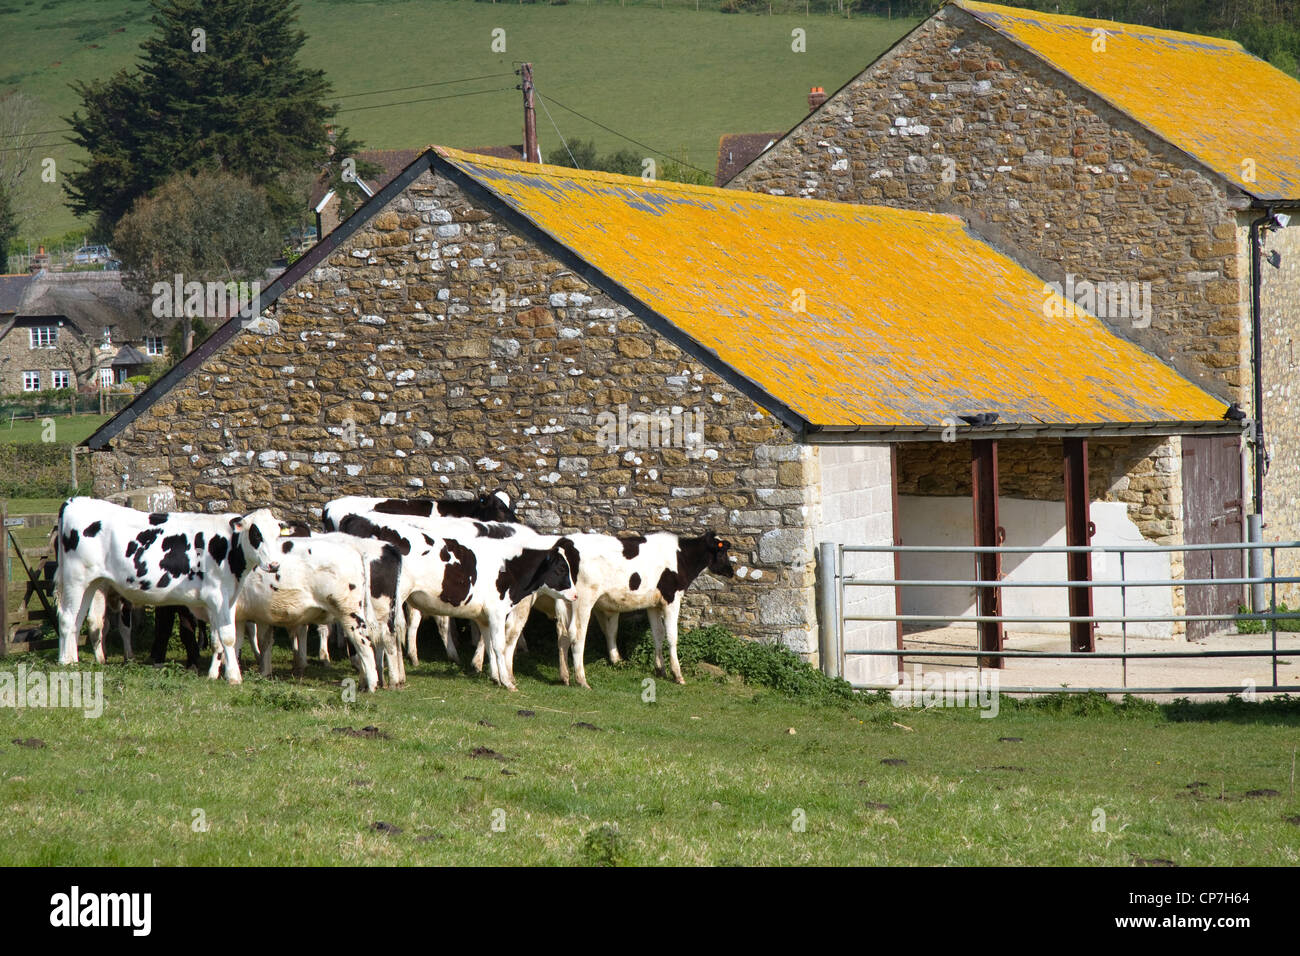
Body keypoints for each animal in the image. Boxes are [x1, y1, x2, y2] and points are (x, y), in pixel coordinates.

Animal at [54, 498, 288, 684]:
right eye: (256, 535)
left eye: (277, 535)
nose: (275, 565)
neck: (227, 548)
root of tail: (75, 501)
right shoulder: (216, 596)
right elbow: (228, 637)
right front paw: (234, 677)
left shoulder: (228, 599)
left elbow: (221, 639)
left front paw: (220, 674)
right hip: (75, 579)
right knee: (66, 618)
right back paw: (64, 663)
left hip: (92, 583)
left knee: (77, 620)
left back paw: (73, 661)